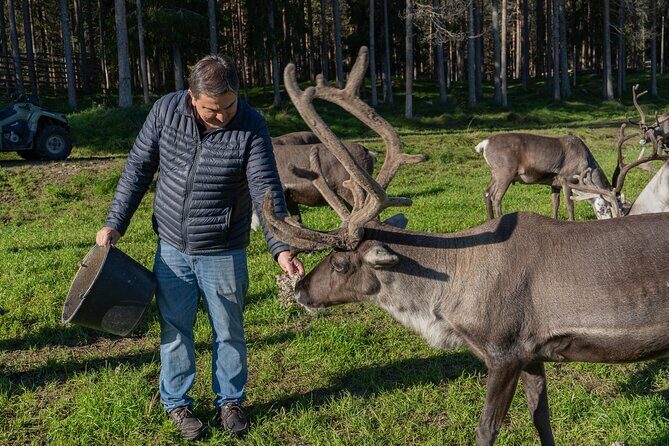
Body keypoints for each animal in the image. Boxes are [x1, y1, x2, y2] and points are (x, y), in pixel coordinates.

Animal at [475, 133, 613, 221]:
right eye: (604, 208)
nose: (608, 220)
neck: (586, 162)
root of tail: (484, 144)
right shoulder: (566, 180)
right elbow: (570, 206)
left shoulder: (555, 184)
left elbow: (555, 204)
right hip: (505, 174)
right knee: (496, 197)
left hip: (494, 175)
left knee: (487, 192)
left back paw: (490, 220)